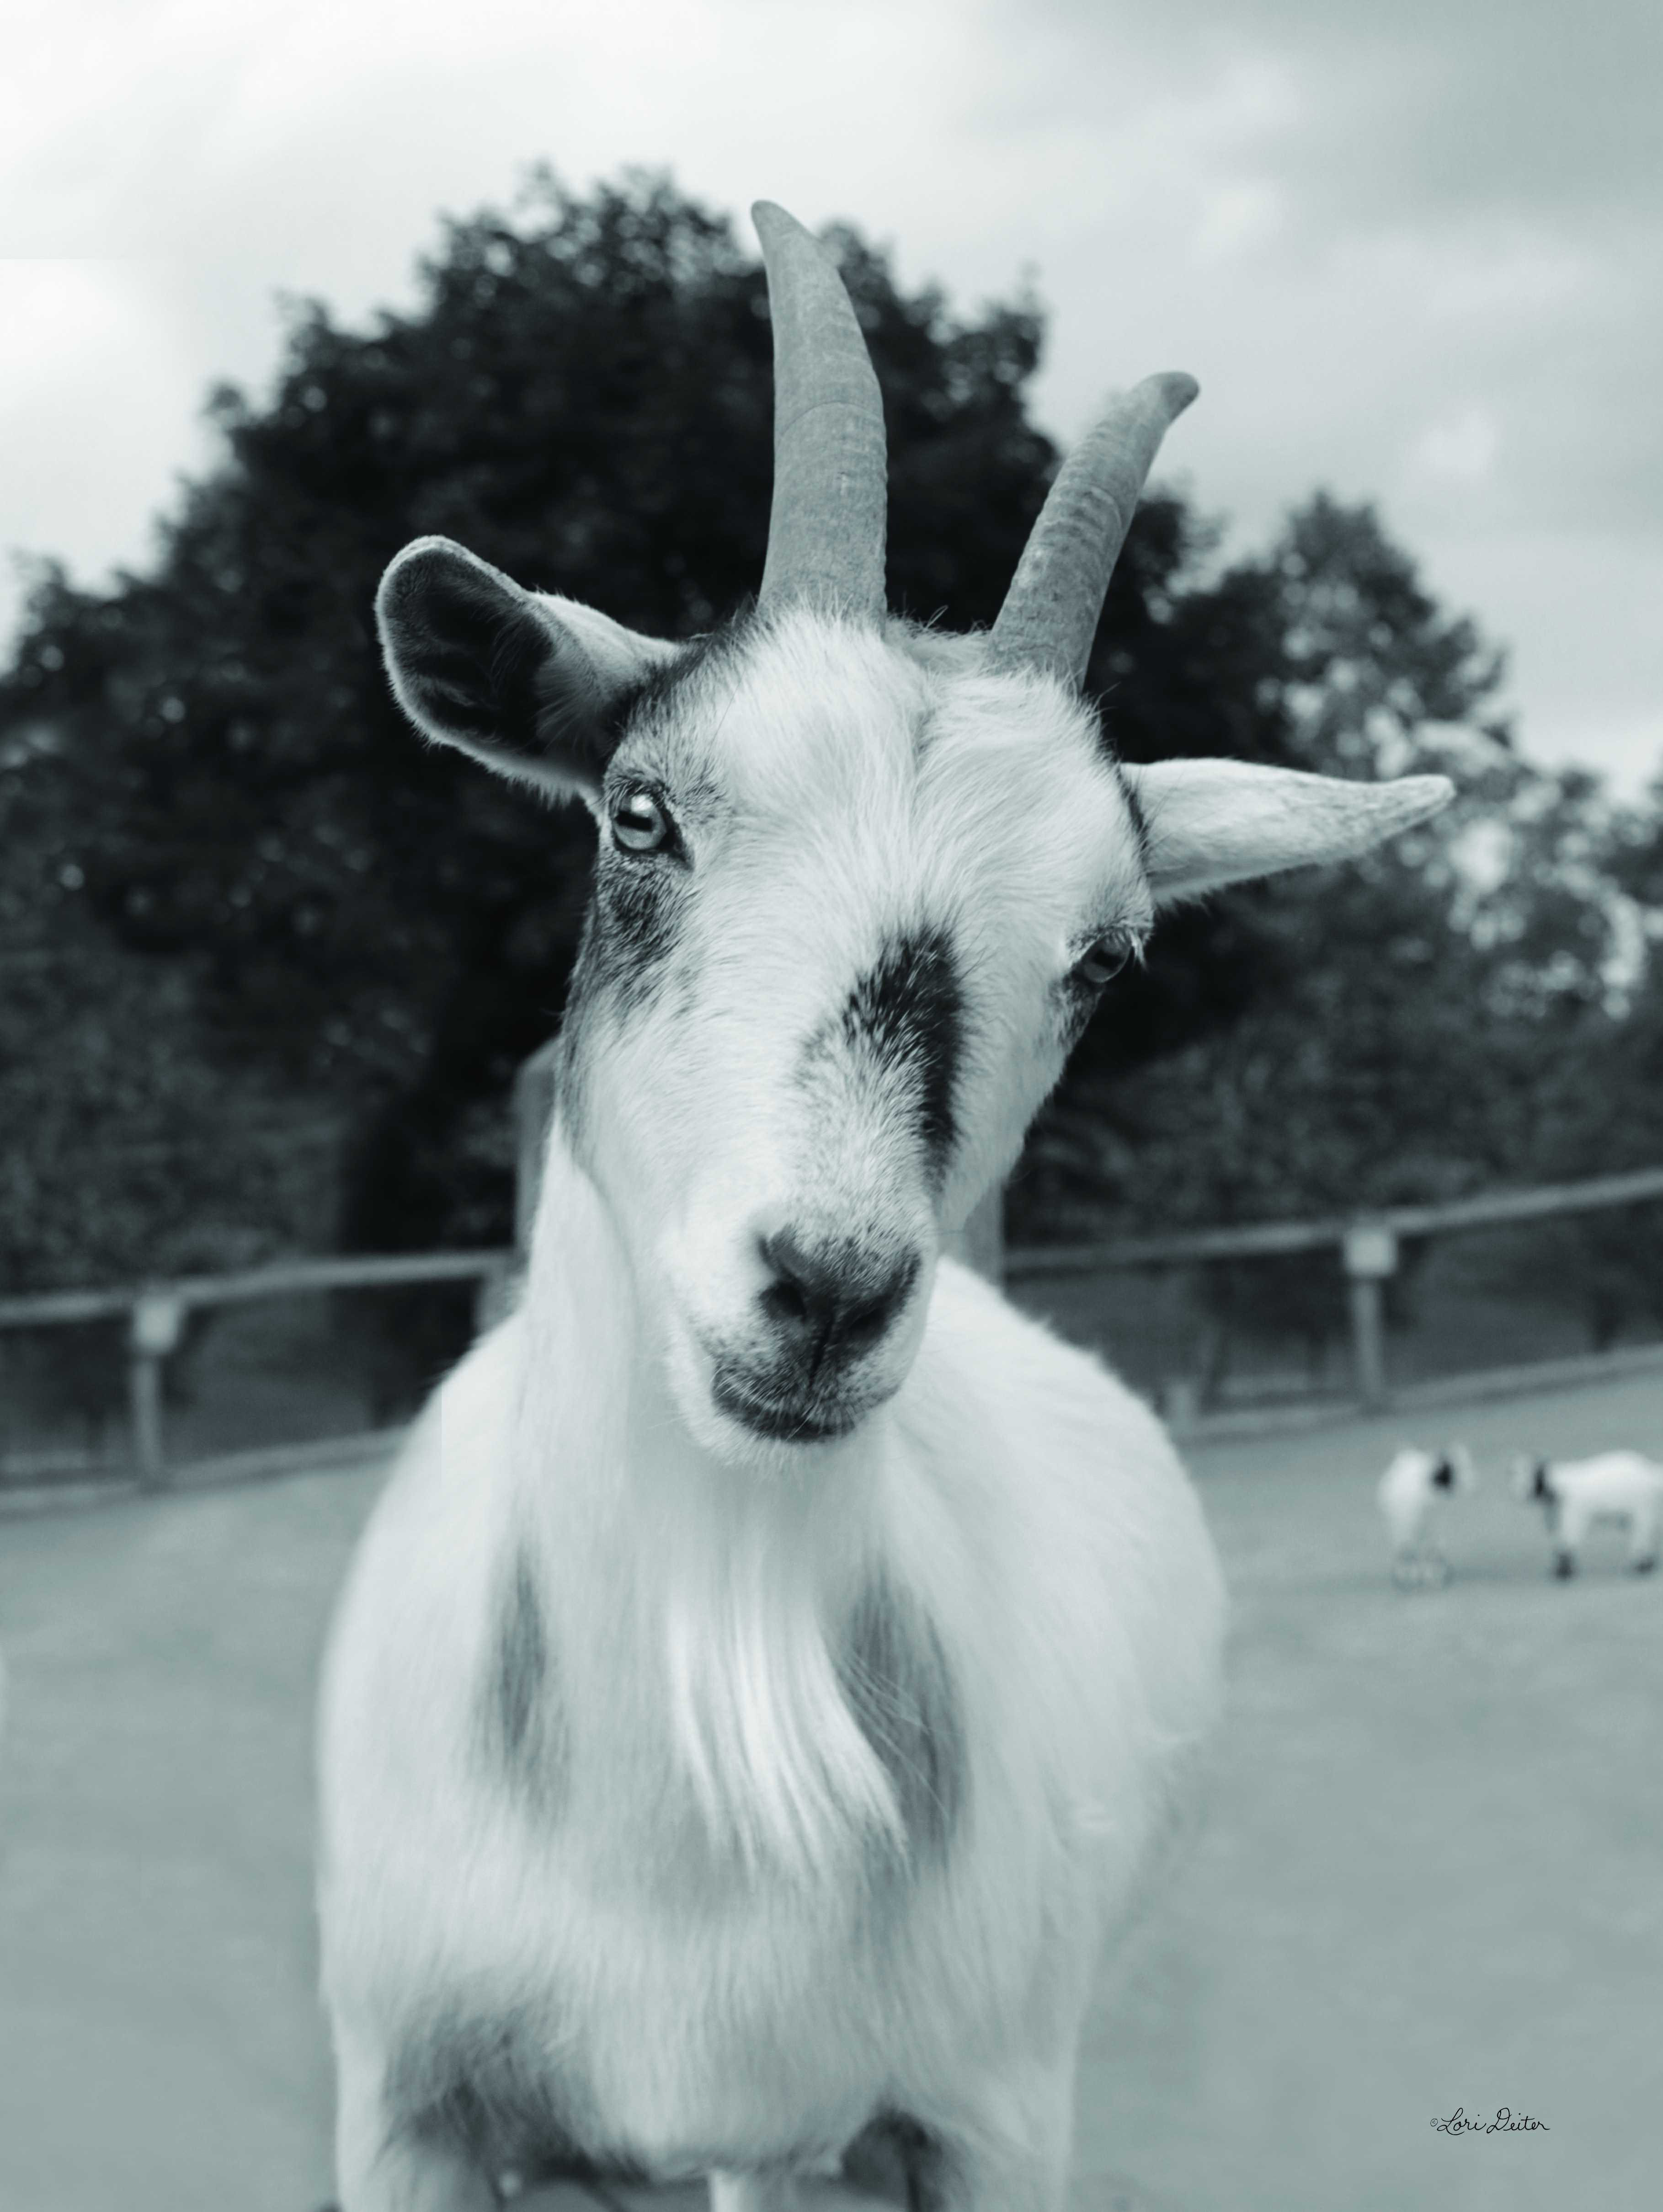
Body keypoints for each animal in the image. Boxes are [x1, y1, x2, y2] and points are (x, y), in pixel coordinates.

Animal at [1377, 1444, 1477, 1588]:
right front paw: (1408, 1577)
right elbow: (1408, 1553)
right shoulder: (1406, 1529)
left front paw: (1435, 1577)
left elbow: (1433, 1552)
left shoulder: (1436, 1531)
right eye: (1449, 1474)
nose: (1475, 1484)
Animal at [1510, 1452, 1663, 1579]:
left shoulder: (1573, 1511)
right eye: (1515, 1481)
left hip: (1642, 1506)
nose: (1519, 1495)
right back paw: (1648, 1563)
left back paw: (1639, 1566)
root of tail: (1651, 1473)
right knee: (1644, 1532)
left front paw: (1564, 1572)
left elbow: (1568, 1540)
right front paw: (1560, 1568)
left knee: (1641, 1533)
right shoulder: (1555, 1514)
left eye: (1533, 1480)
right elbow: (1559, 1540)